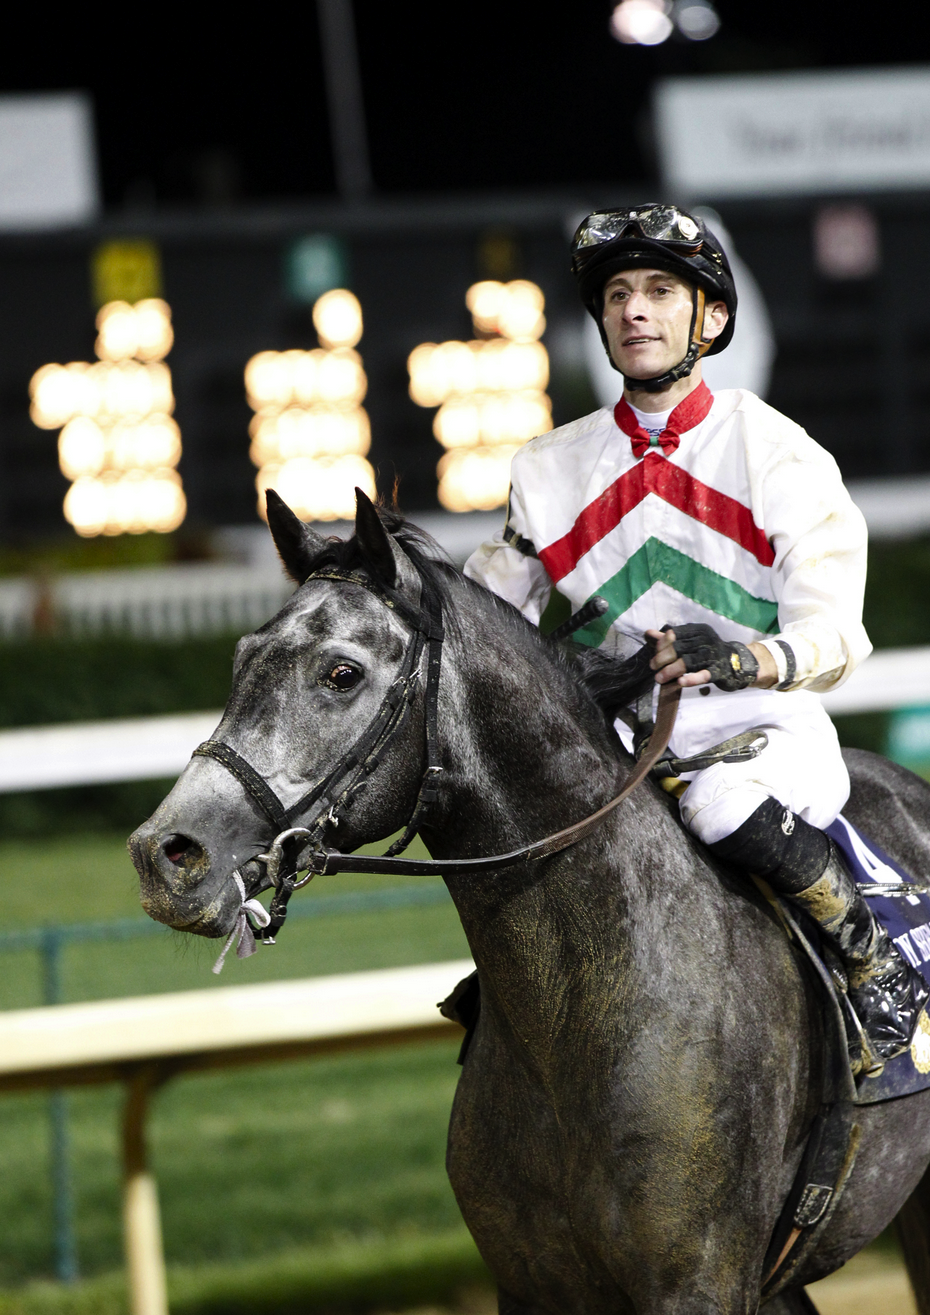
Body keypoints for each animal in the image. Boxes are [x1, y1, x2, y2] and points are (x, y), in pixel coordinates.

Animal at [129, 489, 930, 1315]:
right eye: (242, 659)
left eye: (341, 672)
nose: (167, 853)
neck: (580, 1013)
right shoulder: (530, 1280)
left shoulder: (698, 1280)